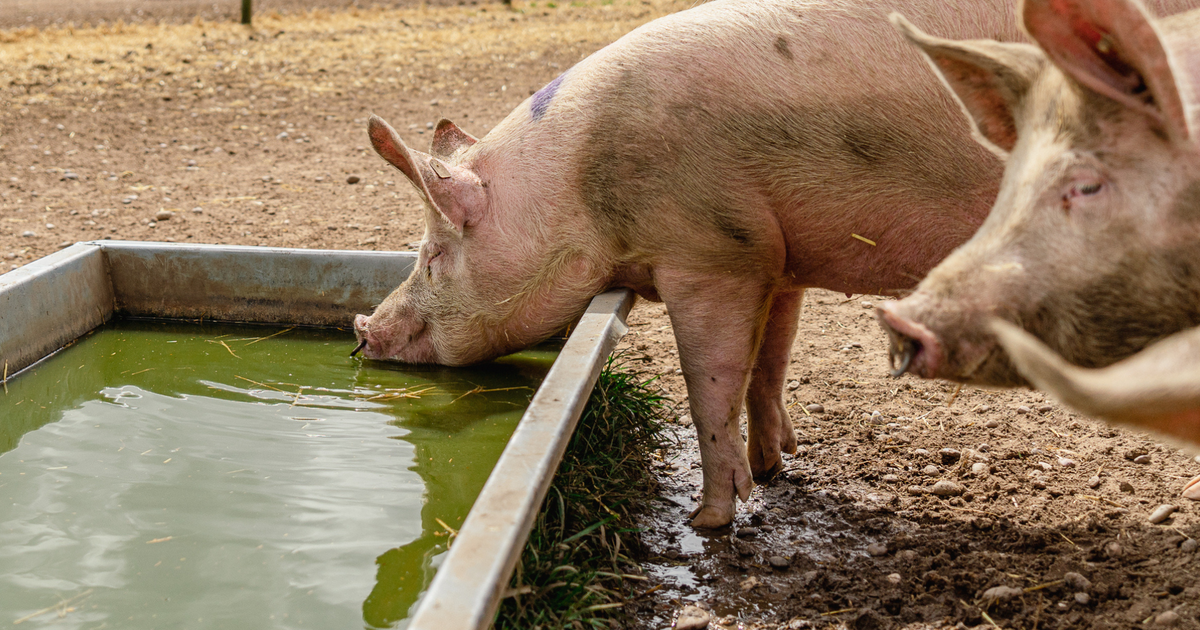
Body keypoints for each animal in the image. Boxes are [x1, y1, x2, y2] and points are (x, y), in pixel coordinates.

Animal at [354, 0, 1043, 529]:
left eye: (432, 256)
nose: (364, 330)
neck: (576, 188)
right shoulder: (779, 255)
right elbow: (768, 366)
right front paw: (773, 466)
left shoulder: (713, 252)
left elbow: (708, 384)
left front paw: (706, 521)